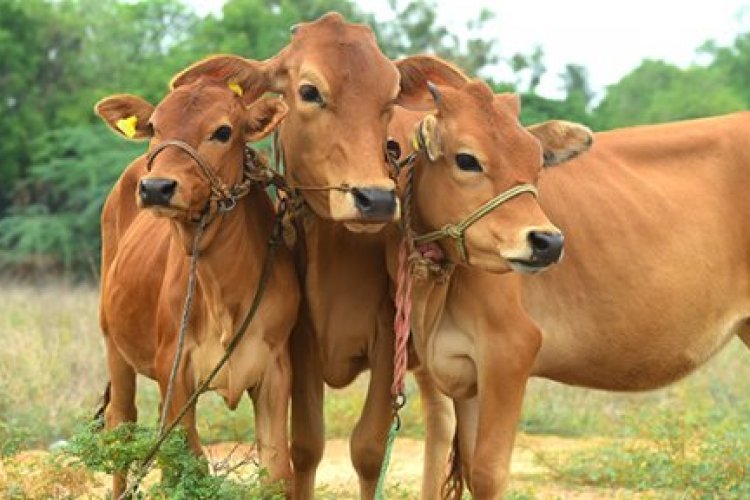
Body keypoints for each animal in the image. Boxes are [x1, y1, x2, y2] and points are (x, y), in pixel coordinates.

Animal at [96, 64, 299, 498]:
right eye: (154, 126)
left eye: (223, 131)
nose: (156, 187)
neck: (223, 292)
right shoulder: (174, 366)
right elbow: (187, 469)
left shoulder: (275, 370)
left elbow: (276, 472)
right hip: (113, 344)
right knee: (122, 424)